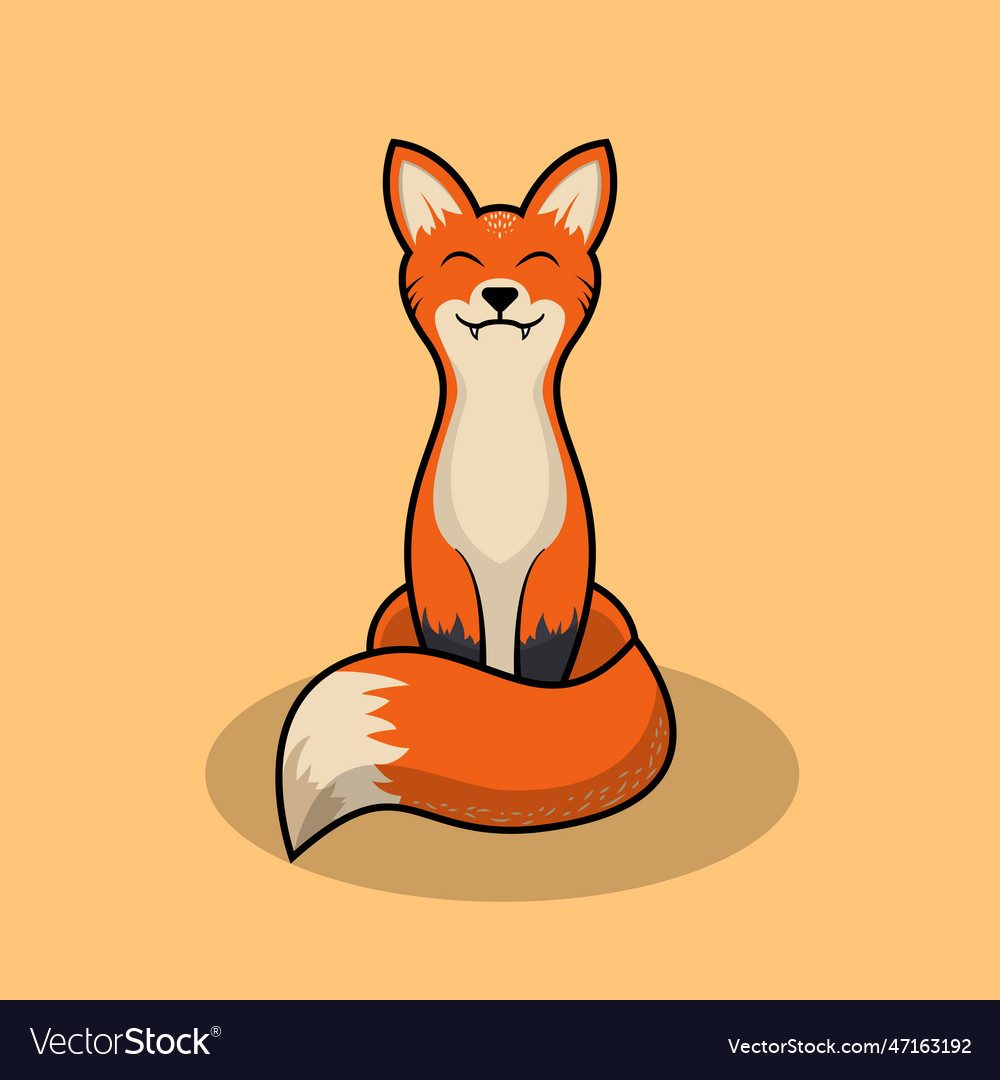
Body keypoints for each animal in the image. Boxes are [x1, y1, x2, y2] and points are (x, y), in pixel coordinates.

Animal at [277, 140, 675, 860]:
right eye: (463, 263)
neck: (501, 481)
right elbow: (462, 658)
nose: (498, 294)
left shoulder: (555, 581)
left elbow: (533, 676)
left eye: (537, 263)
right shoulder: (443, 578)